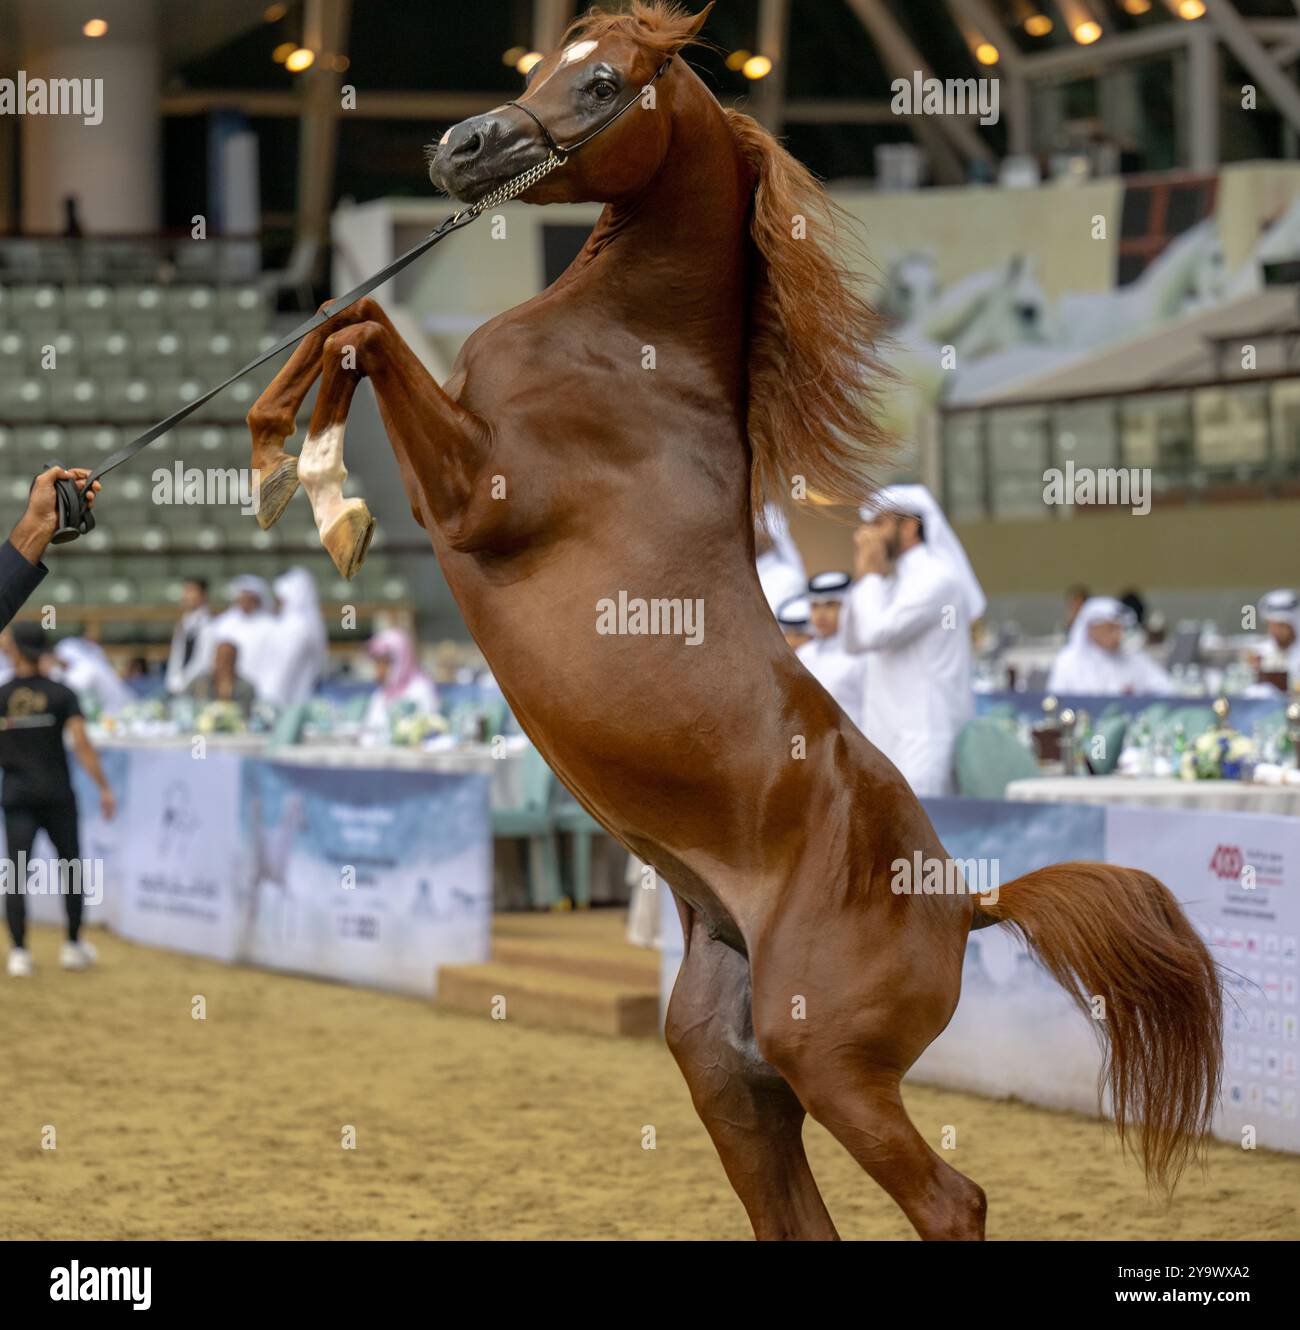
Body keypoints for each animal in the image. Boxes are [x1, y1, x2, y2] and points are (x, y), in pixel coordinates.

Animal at [244, 1, 1222, 1240]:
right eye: (544, 61)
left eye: (602, 83)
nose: (461, 148)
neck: (626, 359)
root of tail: (967, 901)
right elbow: (342, 321)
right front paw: (281, 467)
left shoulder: (473, 499)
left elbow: (361, 329)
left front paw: (320, 494)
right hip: (729, 1066)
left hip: (832, 1066)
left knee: (951, 1200)